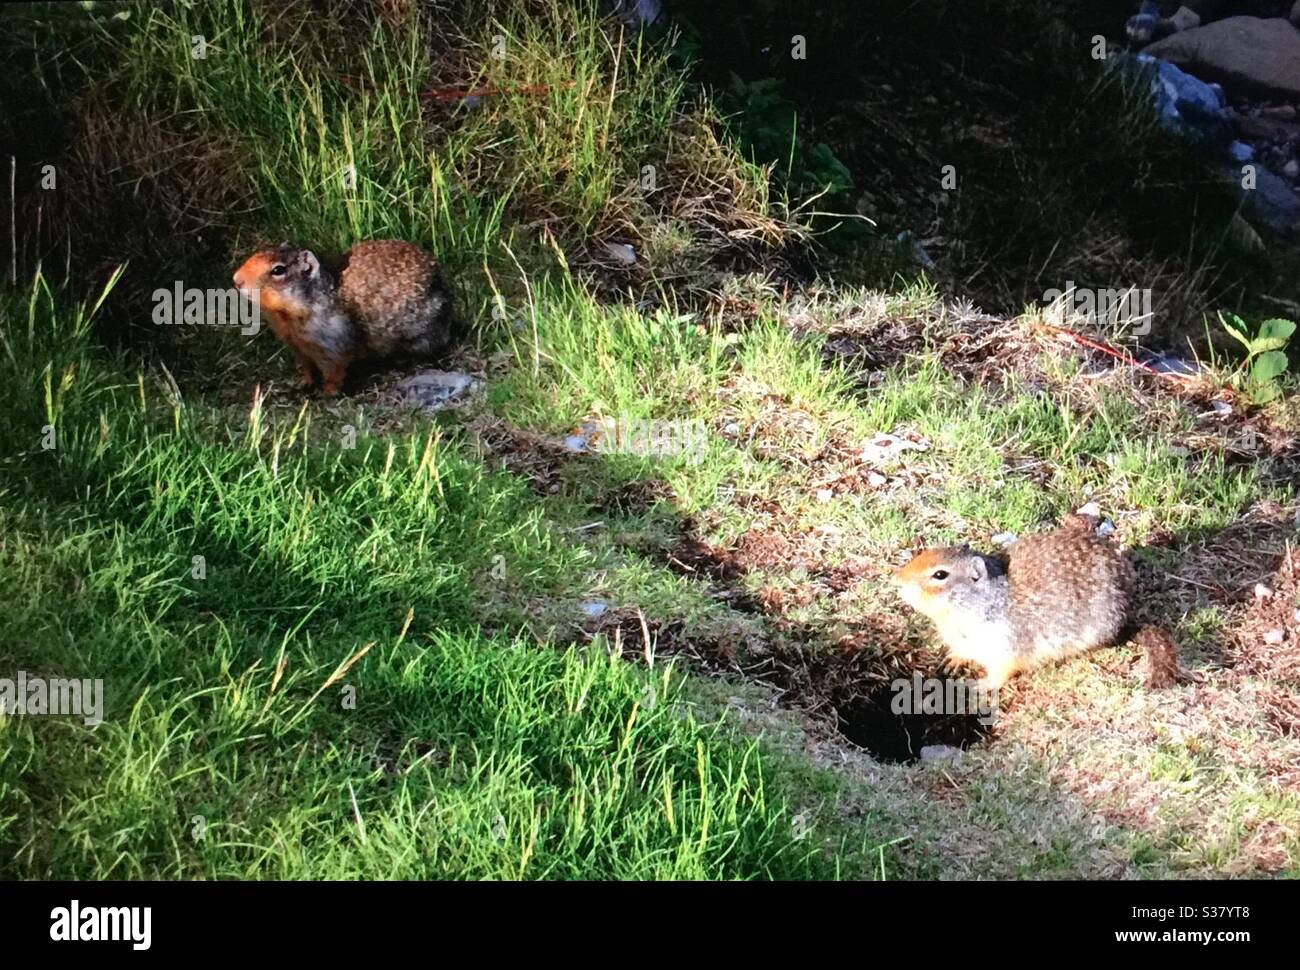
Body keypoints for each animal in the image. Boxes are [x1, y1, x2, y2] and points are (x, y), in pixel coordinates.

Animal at [233, 239, 458, 396]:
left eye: (278, 270)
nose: (236, 279)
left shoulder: (331, 343)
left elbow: (334, 370)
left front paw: (326, 394)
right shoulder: (298, 347)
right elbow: (307, 367)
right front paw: (303, 384)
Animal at [891, 514, 1178, 689]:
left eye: (940, 575)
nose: (898, 581)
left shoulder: (1005, 643)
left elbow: (1002, 672)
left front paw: (979, 685)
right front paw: (953, 661)